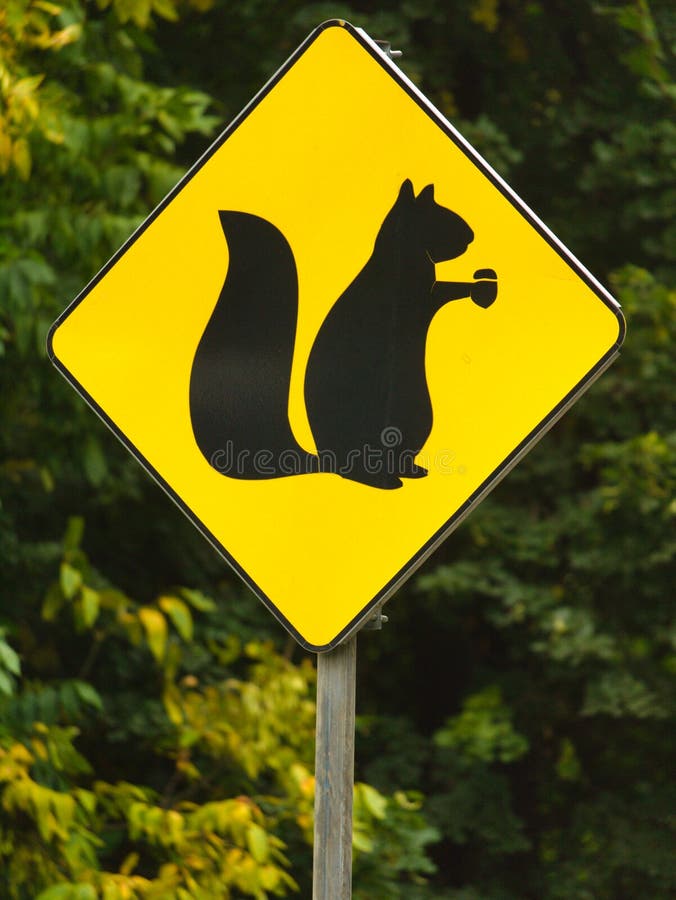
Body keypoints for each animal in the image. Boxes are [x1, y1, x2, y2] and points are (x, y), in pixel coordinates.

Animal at [189, 179, 498, 490]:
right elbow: (443, 291)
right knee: (361, 471)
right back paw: (385, 481)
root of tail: (327, 461)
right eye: (441, 216)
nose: (472, 235)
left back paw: (411, 472)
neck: (402, 252)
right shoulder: (415, 298)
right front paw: (479, 288)